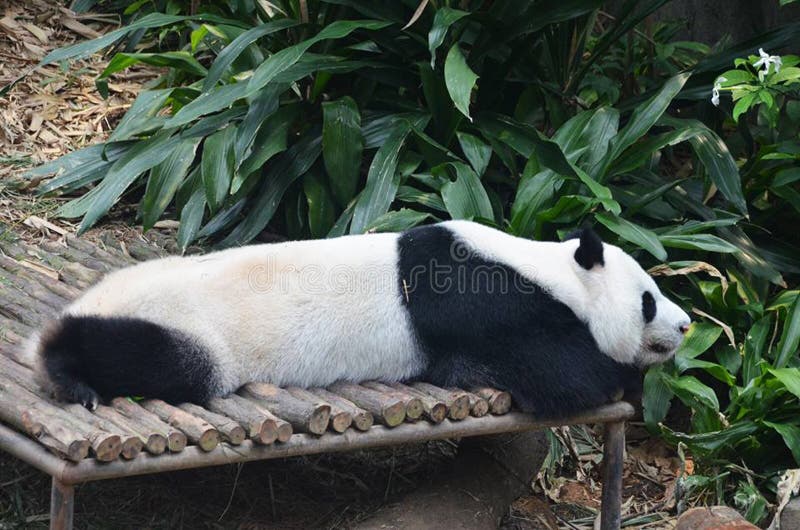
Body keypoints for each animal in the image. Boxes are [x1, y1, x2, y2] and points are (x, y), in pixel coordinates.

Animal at [31, 221, 690, 418]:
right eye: (649, 299)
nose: (686, 326)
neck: (549, 268)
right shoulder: (487, 306)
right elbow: (561, 376)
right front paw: (622, 375)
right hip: (191, 330)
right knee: (158, 361)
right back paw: (70, 373)